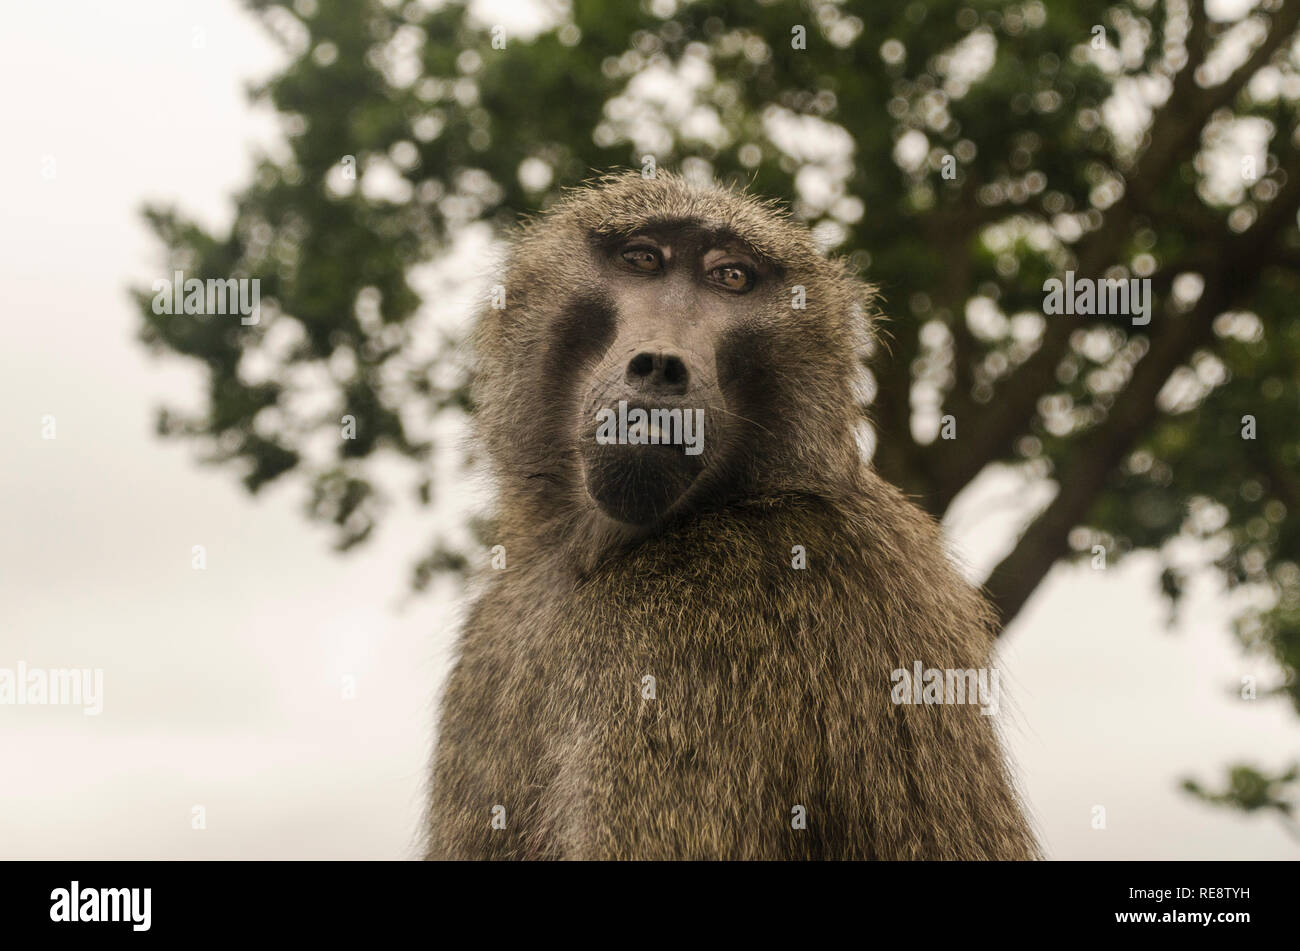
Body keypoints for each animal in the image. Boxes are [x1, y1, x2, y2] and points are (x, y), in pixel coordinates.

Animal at [426, 170, 1039, 860]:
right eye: (643, 259)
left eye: (732, 278)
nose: (661, 365)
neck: (598, 554)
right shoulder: (495, 632)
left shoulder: (701, 627)